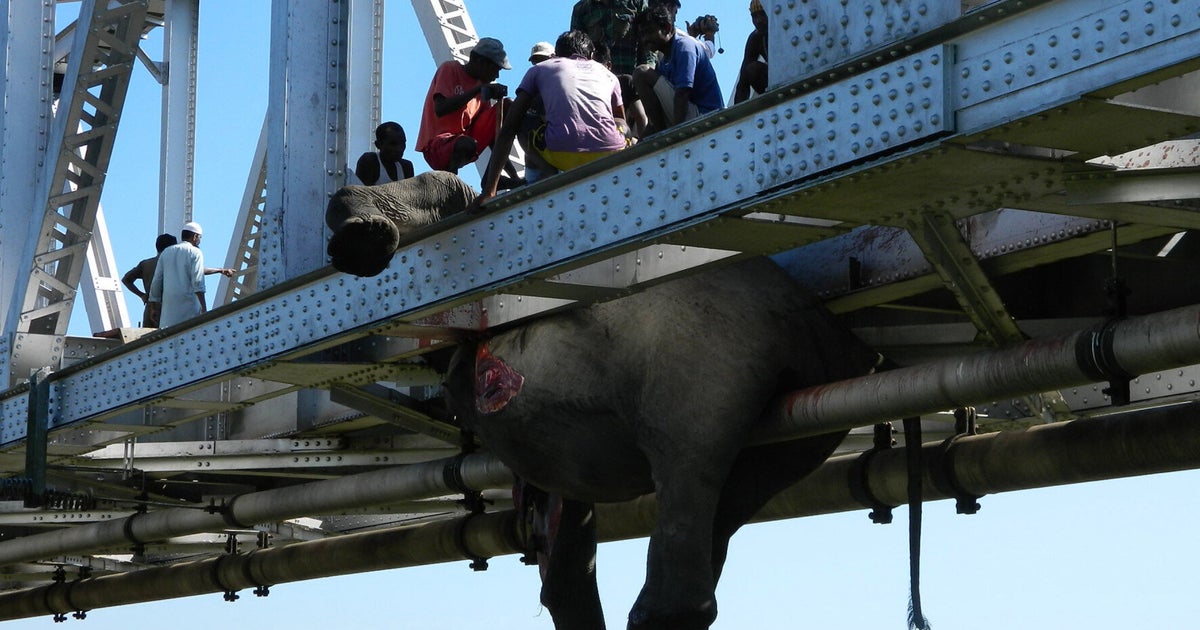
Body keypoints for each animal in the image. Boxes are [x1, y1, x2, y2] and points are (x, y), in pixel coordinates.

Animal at [325, 173, 881, 629]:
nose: (362, 239)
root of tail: (819, 332)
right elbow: (566, 573)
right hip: (776, 444)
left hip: (694, 395)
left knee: (677, 581)